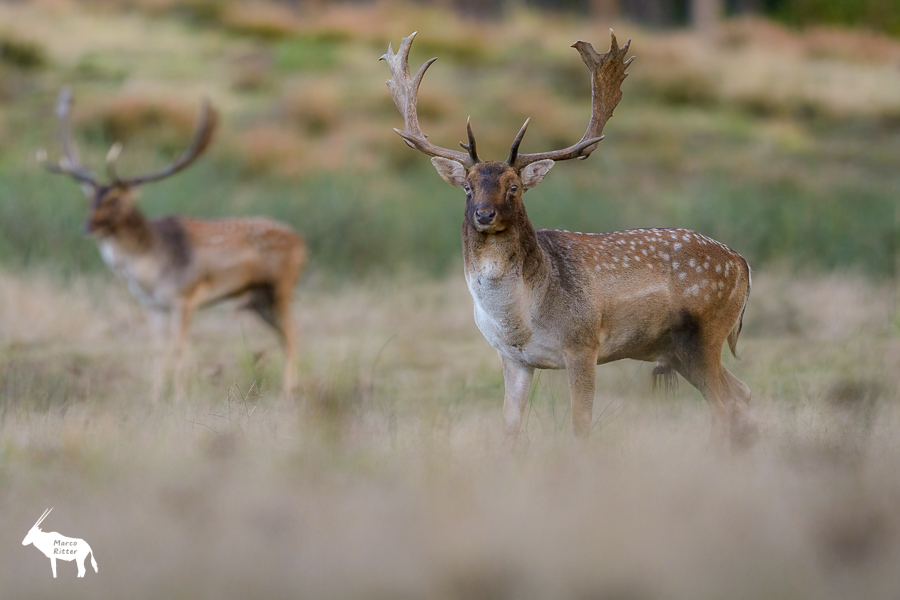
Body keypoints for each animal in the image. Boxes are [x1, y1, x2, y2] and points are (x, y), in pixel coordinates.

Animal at [39, 89, 306, 396]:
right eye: (90, 199)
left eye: (115, 199)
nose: (87, 227)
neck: (148, 269)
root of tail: (303, 243)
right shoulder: (151, 305)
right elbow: (157, 349)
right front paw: (155, 396)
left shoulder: (184, 298)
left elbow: (180, 348)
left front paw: (180, 396)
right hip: (258, 301)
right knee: (285, 337)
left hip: (280, 289)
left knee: (294, 335)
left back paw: (288, 392)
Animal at [384, 31, 756, 446]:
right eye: (467, 186)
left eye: (514, 187)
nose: (484, 215)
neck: (521, 317)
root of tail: (743, 264)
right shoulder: (513, 358)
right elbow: (510, 428)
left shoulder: (583, 344)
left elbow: (581, 426)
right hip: (675, 349)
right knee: (742, 393)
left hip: (704, 334)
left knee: (725, 403)